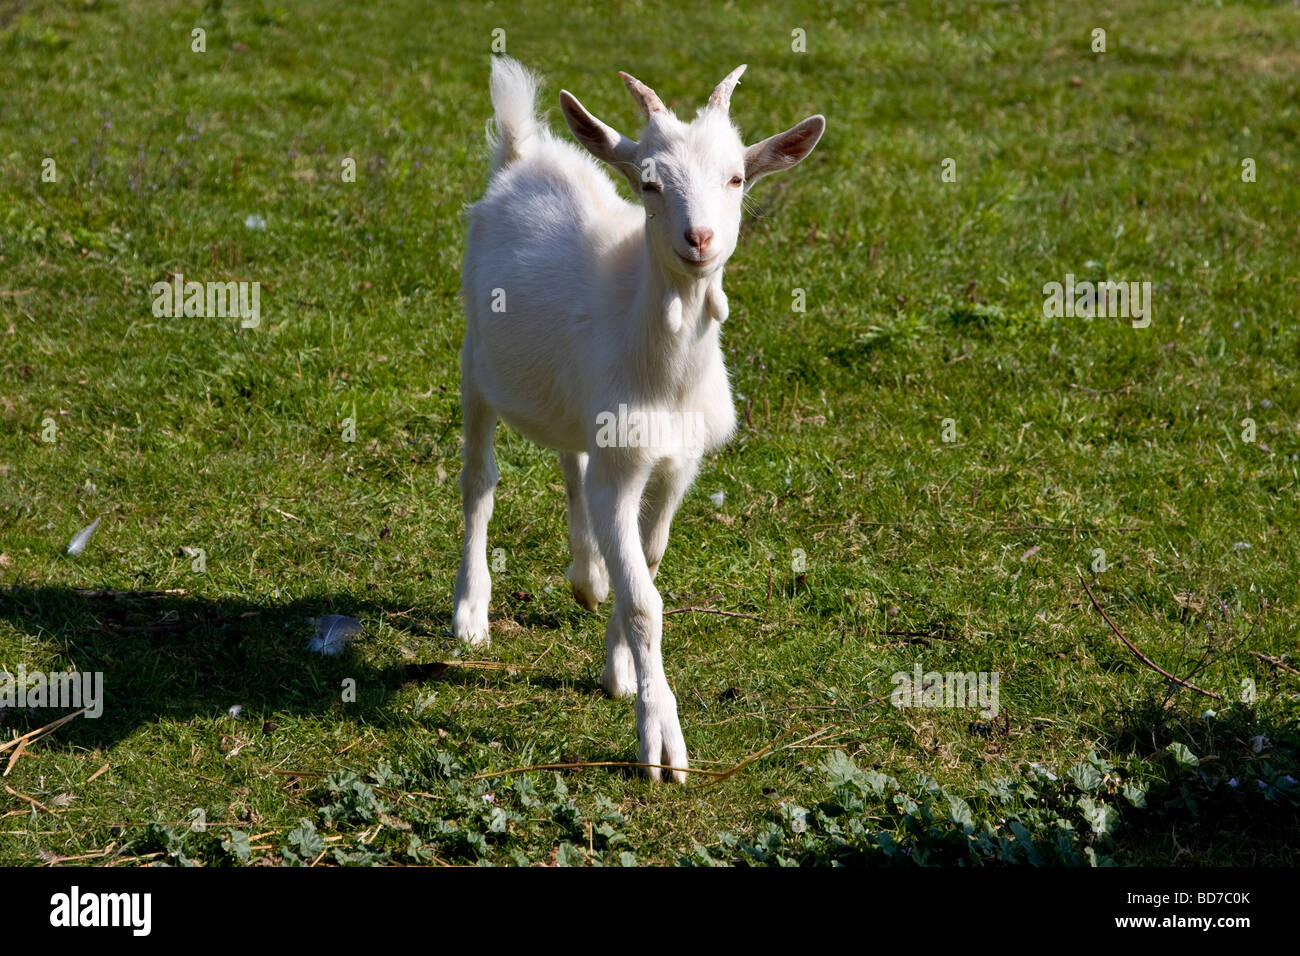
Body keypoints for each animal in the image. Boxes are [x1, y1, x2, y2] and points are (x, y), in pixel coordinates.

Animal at [455, 56, 825, 782]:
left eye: (737, 177)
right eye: (650, 182)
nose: (699, 238)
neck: (664, 374)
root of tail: (522, 152)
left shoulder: (676, 463)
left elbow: (646, 565)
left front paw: (619, 668)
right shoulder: (624, 465)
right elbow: (646, 601)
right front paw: (660, 741)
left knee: (571, 463)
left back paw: (586, 575)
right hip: (475, 363)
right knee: (480, 482)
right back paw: (472, 610)